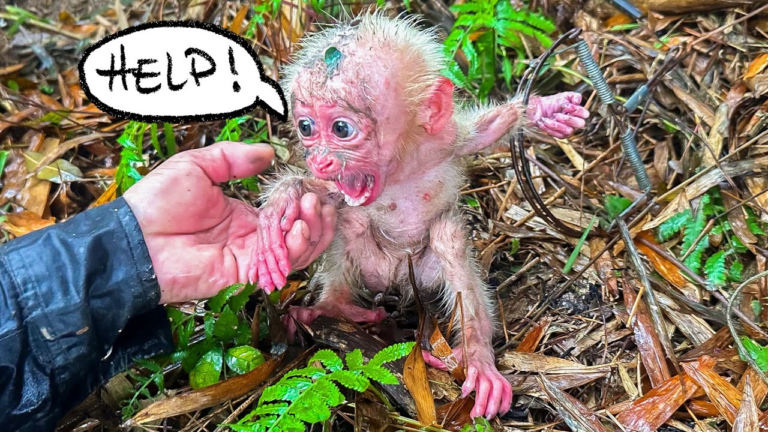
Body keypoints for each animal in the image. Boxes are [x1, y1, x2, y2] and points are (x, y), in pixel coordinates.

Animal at [246, 12, 589, 419]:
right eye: (306, 127)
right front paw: (281, 207)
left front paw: (540, 109)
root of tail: (396, 275)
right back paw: (333, 309)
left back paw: (475, 356)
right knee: (353, 223)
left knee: (448, 236)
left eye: (341, 128)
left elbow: (490, 130)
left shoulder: (448, 139)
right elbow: (323, 195)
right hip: (372, 266)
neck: (401, 165)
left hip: (422, 272)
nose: (319, 160)